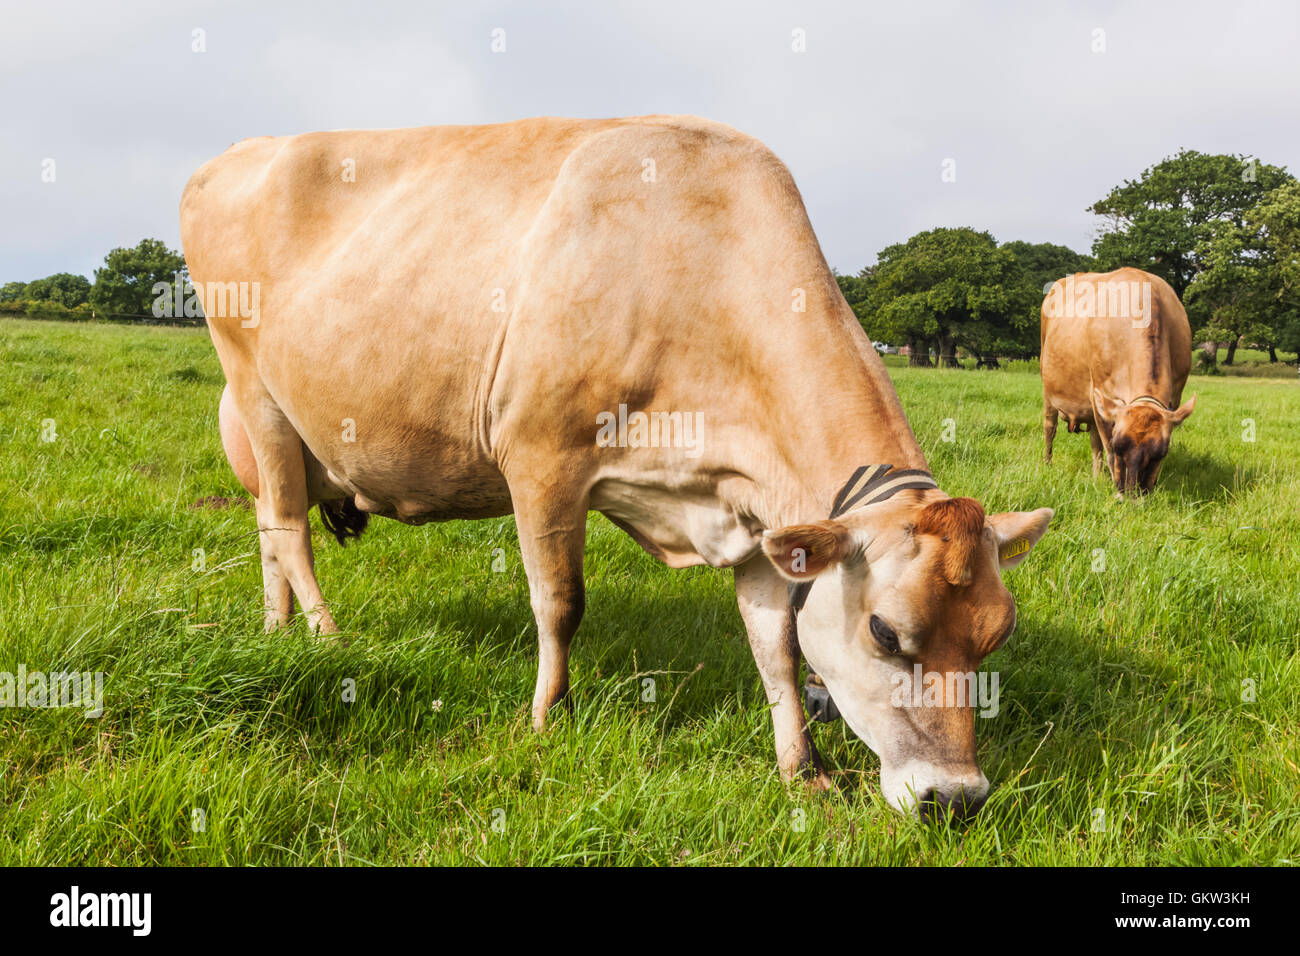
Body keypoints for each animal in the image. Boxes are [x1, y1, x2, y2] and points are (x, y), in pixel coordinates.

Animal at [181, 115, 1054, 818]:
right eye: (884, 631)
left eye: (997, 637)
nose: (957, 798)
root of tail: (234, 153)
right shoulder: (540, 455)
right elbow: (560, 603)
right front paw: (546, 720)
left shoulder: (756, 513)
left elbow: (776, 644)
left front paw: (800, 769)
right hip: (257, 393)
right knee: (287, 532)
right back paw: (328, 640)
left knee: (268, 533)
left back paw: (277, 633)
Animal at [1040, 268, 1196, 494]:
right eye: (1118, 445)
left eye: (1161, 453)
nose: (1131, 493)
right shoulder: (1101, 394)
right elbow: (1106, 447)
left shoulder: (1174, 399)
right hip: (1049, 392)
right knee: (1050, 429)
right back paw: (1047, 463)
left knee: (1094, 440)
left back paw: (1097, 474)